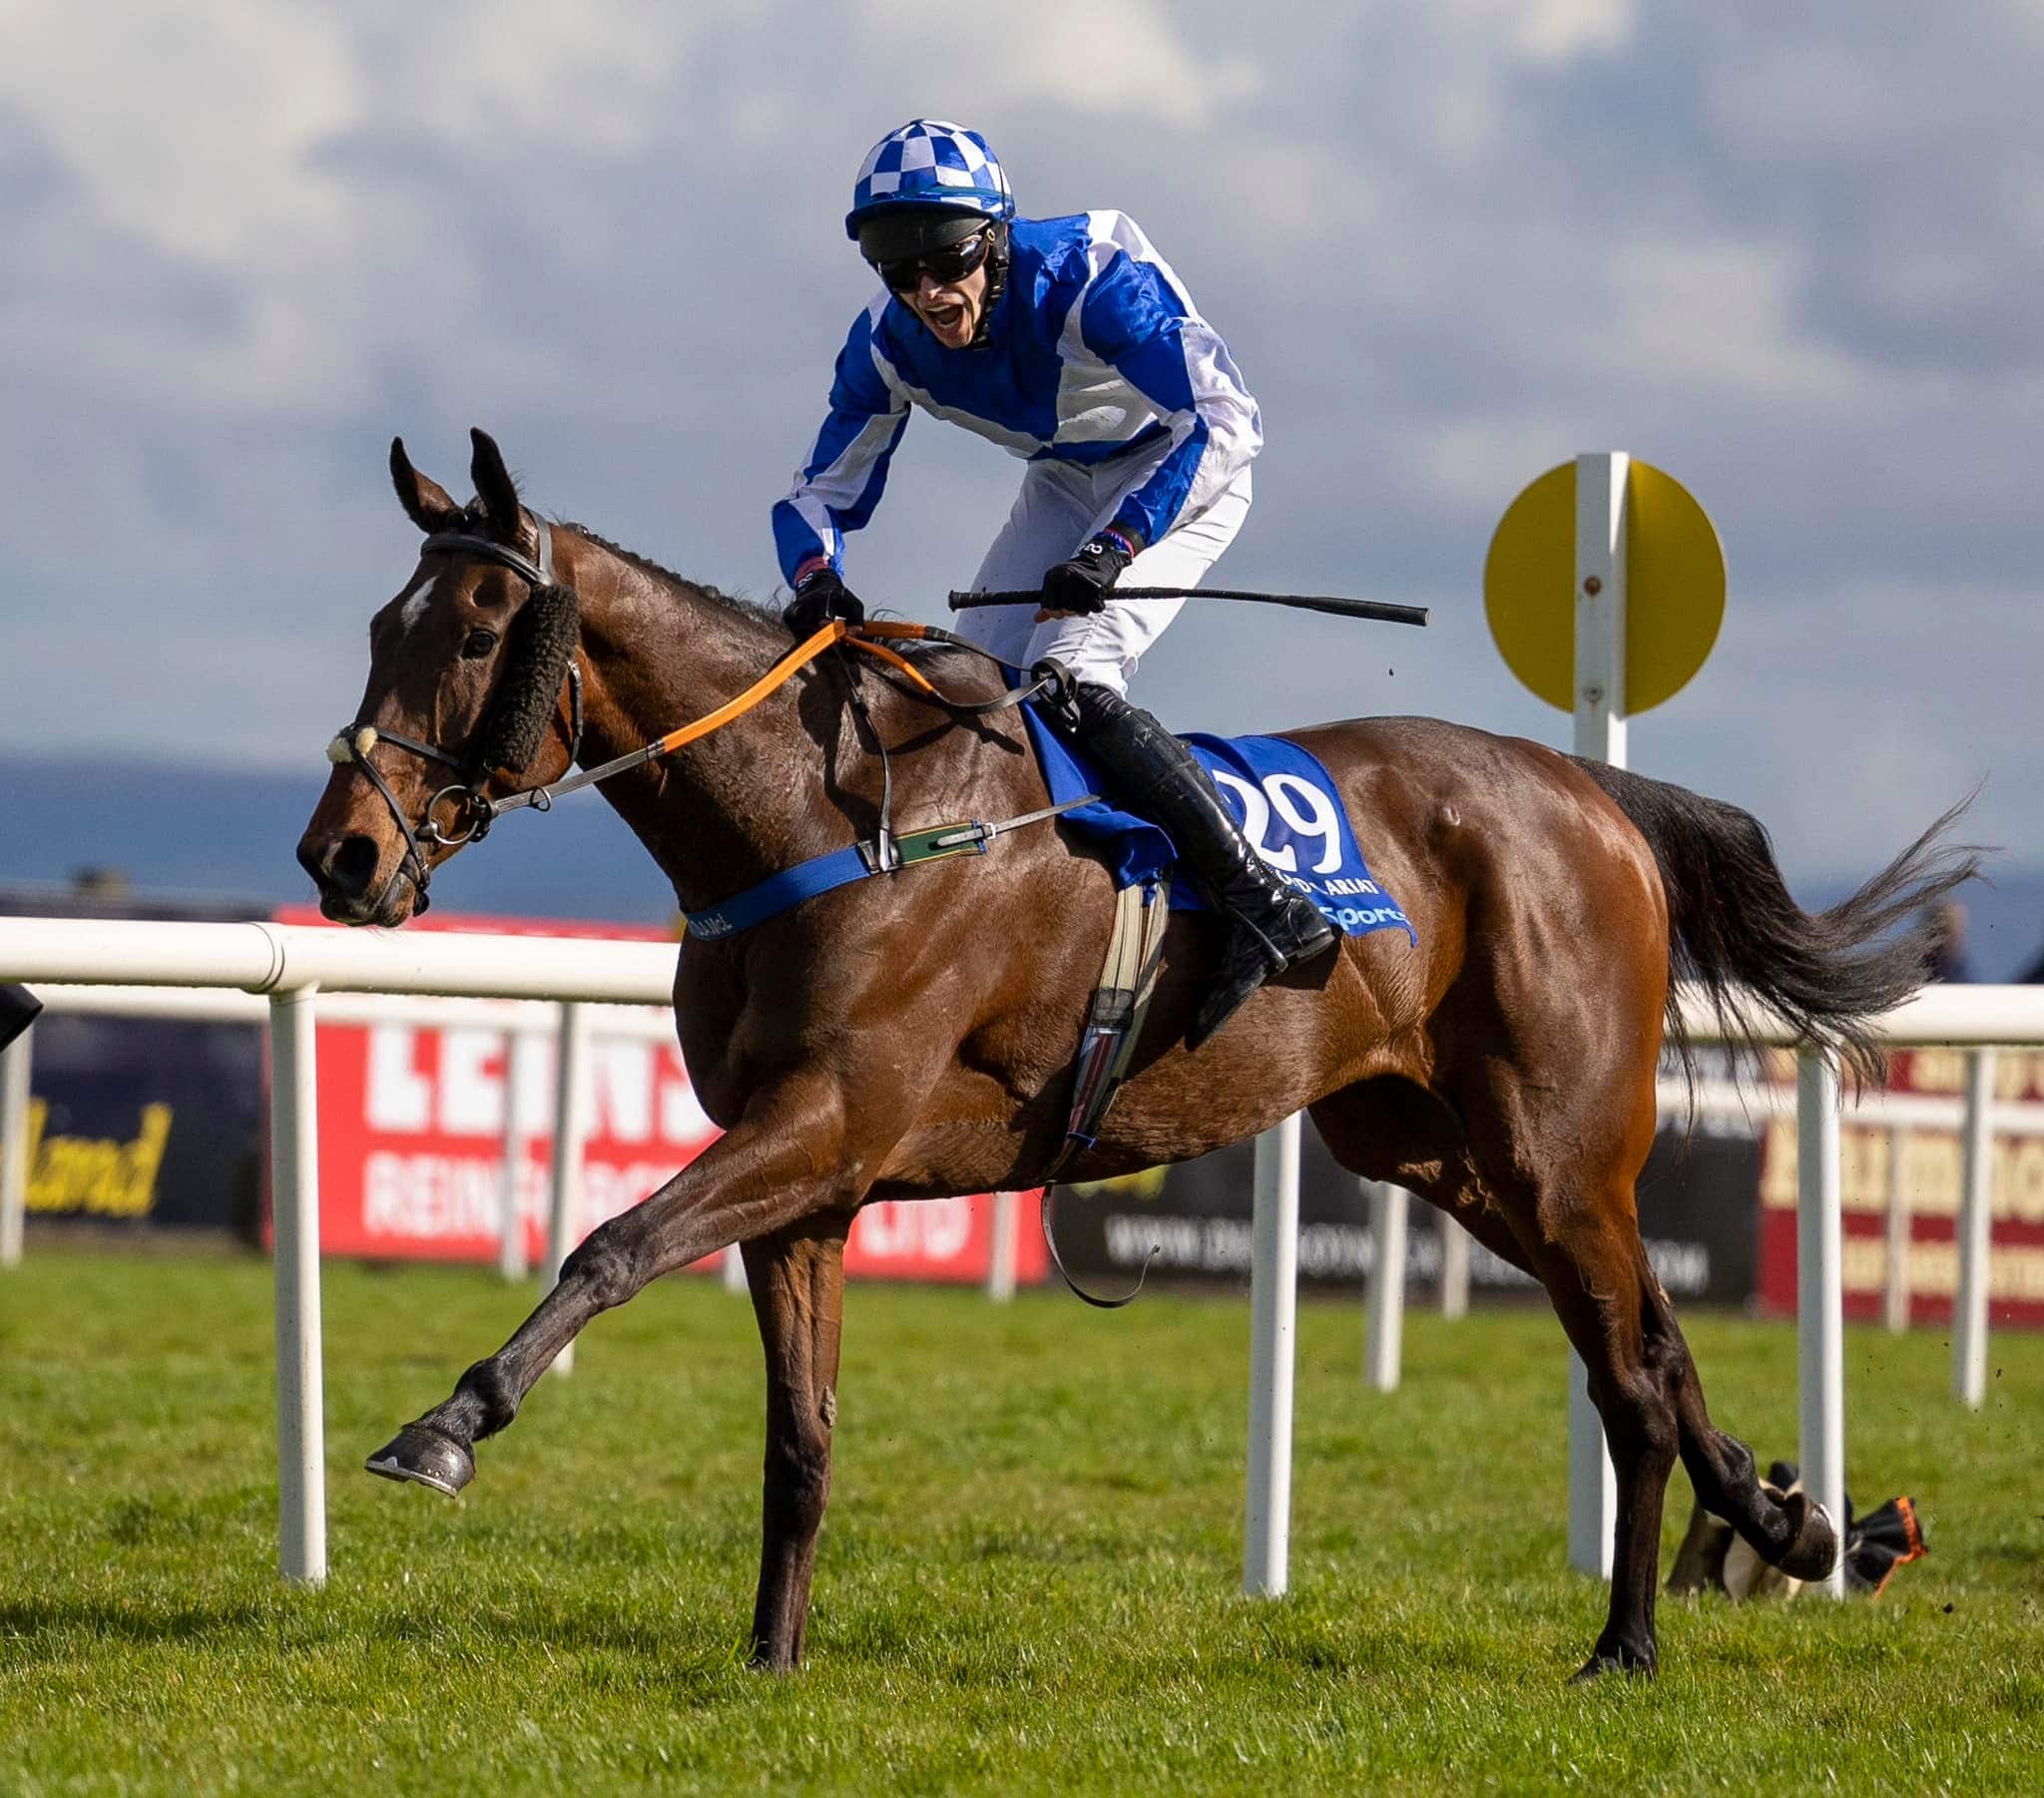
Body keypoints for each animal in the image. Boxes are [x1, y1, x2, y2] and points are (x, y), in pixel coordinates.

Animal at [299, 428, 1975, 1678]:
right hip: (1436, 1148)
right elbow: (799, 1437)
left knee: (1627, 1375)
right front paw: (772, 1656)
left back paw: (1626, 1642)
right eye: (379, 628)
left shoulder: (826, 1121)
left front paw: (444, 1428)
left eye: (472, 632)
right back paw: (1793, 1522)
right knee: (1663, 1348)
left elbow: (611, 1243)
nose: (341, 855)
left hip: (1557, 1153)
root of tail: (1592, 795)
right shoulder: (809, 1182)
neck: (825, 817)